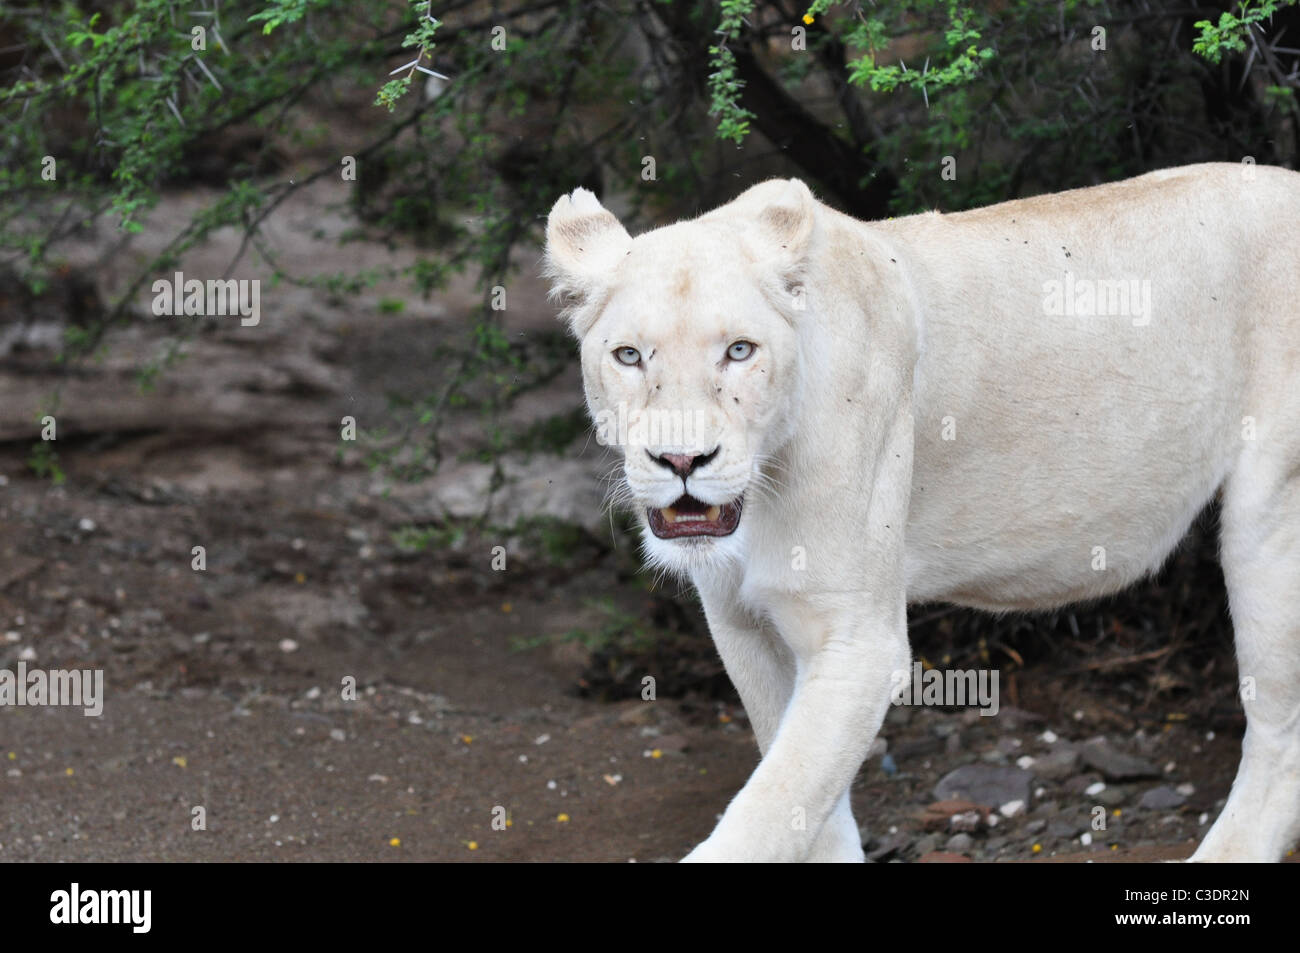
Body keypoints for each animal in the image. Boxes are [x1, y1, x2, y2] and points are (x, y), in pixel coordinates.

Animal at [543, 162, 1300, 862]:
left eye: (739, 351)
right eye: (629, 356)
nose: (681, 460)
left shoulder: (856, 640)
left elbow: (768, 811)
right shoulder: (742, 625)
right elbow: (808, 806)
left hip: (1270, 520)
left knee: (1279, 733)